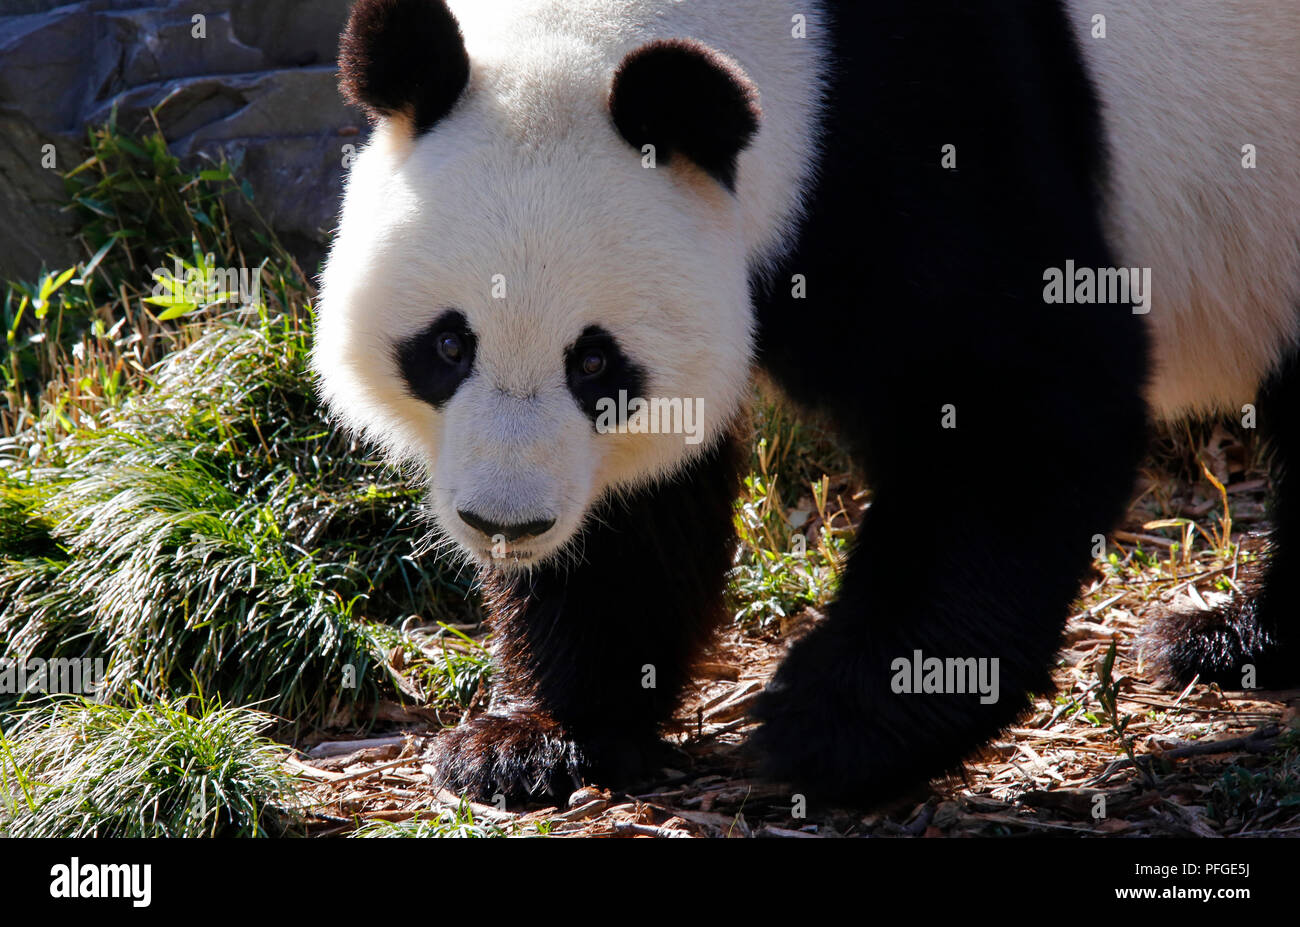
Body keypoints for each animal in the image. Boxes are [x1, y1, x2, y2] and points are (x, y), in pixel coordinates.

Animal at [313, 0, 1300, 801]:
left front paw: (830, 725)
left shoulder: (930, 119)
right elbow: (630, 517)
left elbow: (1023, 397)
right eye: (448, 345)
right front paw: (536, 740)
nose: (506, 524)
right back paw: (1241, 639)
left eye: (595, 364)